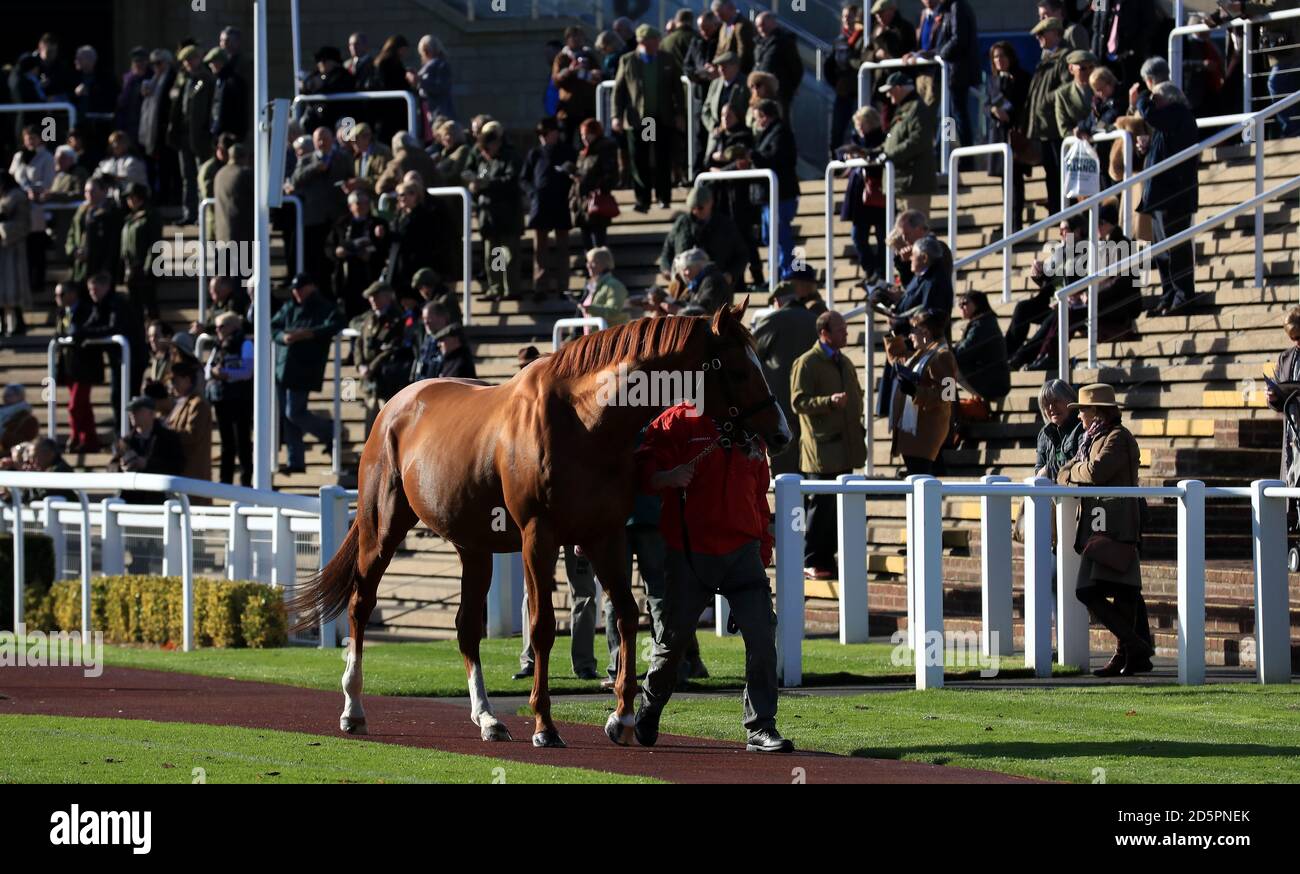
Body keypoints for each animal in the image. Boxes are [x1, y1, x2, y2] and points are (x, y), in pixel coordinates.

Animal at [288, 302, 791, 747]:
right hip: (383, 525)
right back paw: (354, 709)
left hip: (474, 546)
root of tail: (396, 405)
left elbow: (628, 615)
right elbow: (543, 625)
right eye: (739, 370)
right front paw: (545, 725)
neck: (586, 420)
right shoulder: (538, 536)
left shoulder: (606, 535)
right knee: (360, 602)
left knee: (466, 626)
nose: (781, 433)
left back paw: (488, 719)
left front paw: (623, 717)